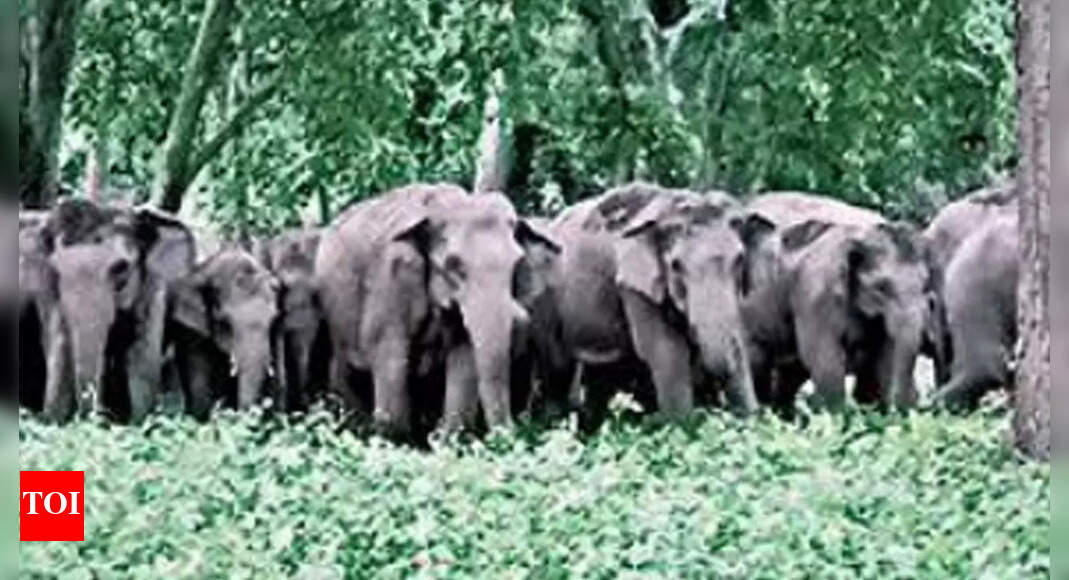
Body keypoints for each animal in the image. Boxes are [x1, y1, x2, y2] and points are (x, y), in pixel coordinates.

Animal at [23, 199, 195, 423]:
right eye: (56, 270)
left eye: (121, 268)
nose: (94, 417)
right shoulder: (46, 288)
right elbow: (58, 342)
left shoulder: (154, 286)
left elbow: (142, 353)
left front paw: (140, 423)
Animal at [315, 183, 560, 441]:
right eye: (454, 264)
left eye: (516, 263)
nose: (509, 433)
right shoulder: (391, 280)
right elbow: (388, 355)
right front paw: (400, 440)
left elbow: (464, 355)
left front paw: (446, 438)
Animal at [527, 183, 766, 429]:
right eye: (676, 265)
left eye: (740, 259)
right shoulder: (632, 285)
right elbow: (666, 350)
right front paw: (682, 429)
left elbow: (737, 344)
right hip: (544, 301)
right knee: (558, 366)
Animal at [742, 192, 931, 416]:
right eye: (881, 287)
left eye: (925, 284)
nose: (915, 402)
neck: (861, 236)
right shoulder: (816, 294)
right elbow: (824, 359)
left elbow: (885, 358)